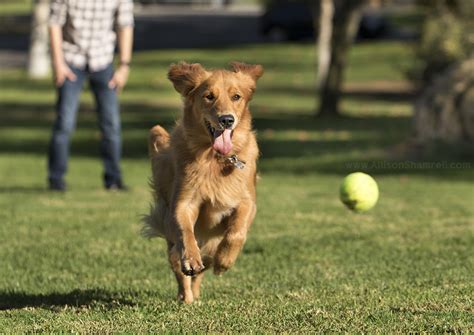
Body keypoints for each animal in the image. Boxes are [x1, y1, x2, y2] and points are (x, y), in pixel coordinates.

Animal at [143, 61, 264, 304]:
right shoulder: (183, 202)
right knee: (180, 269)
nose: (227, 120)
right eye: (209, 96)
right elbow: (186, 233)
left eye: (236, 96)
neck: (215, 158)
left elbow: (236, 233)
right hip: (171, 242)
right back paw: (187, 297)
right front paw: (191, 259)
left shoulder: (247, 201)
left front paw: (224, 261)